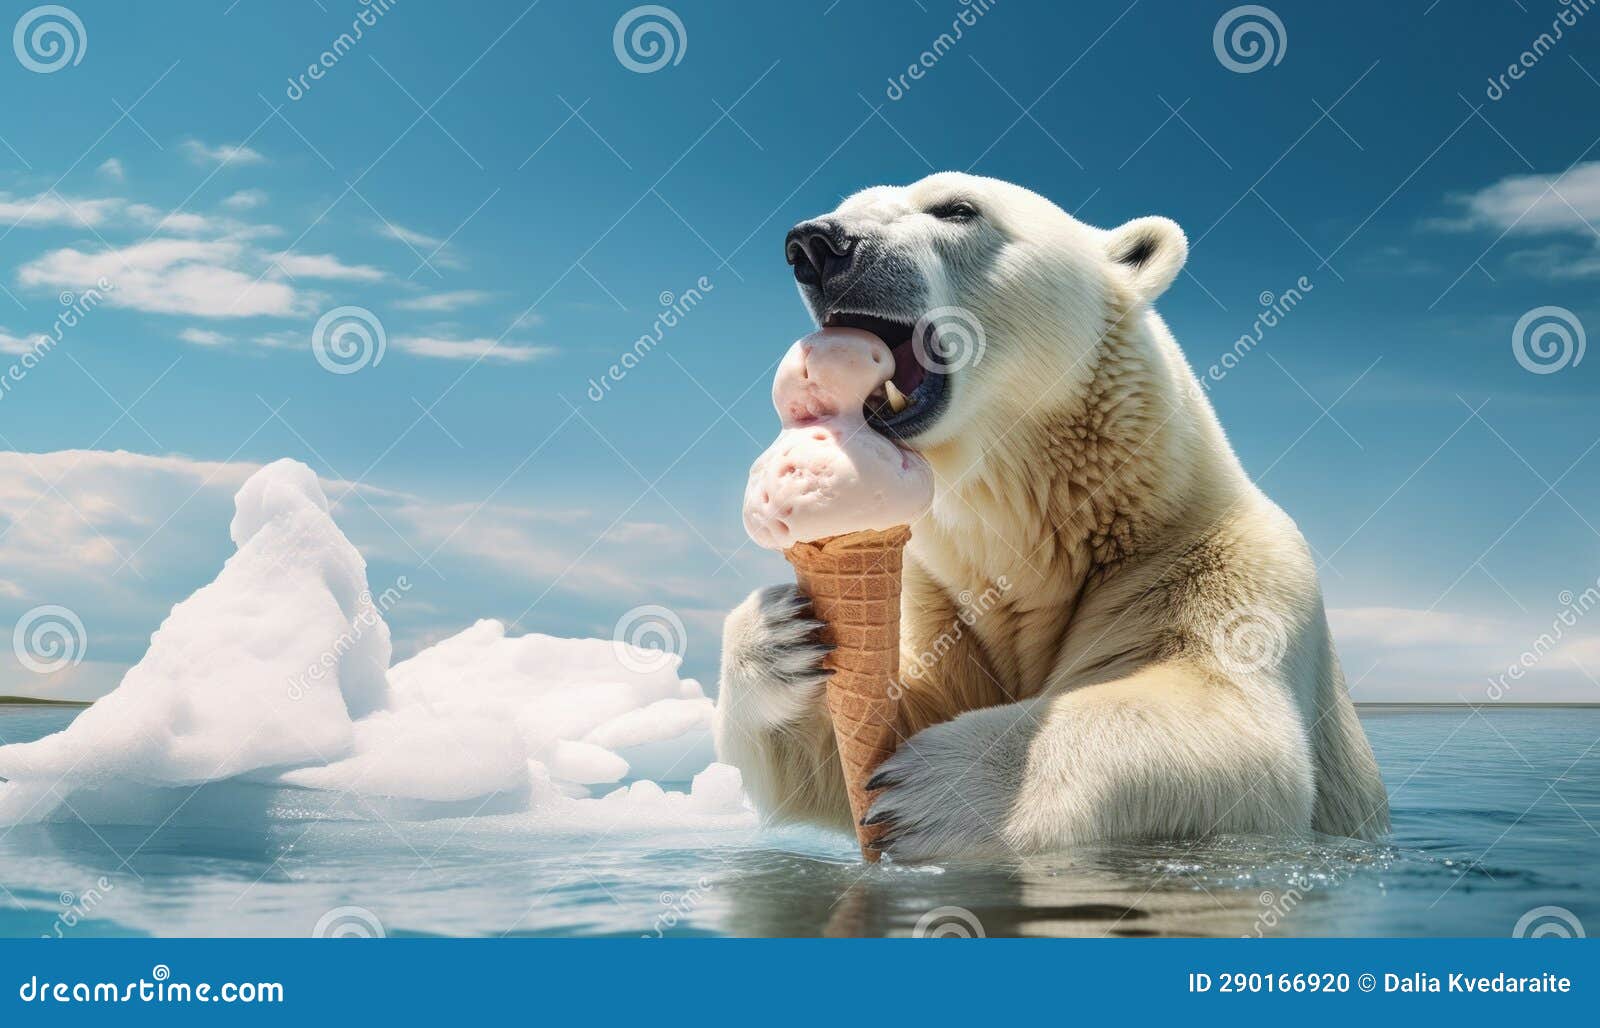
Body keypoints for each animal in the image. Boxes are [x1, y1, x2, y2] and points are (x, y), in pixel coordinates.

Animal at [715, 172, 1390, 861]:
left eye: (956, 209)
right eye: (847, 205)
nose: (815, 243)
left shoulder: (1221, 569)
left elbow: (1238, 731)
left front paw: (936, 789)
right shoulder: (947, 598)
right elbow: (861, 739)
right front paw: (781, 631)